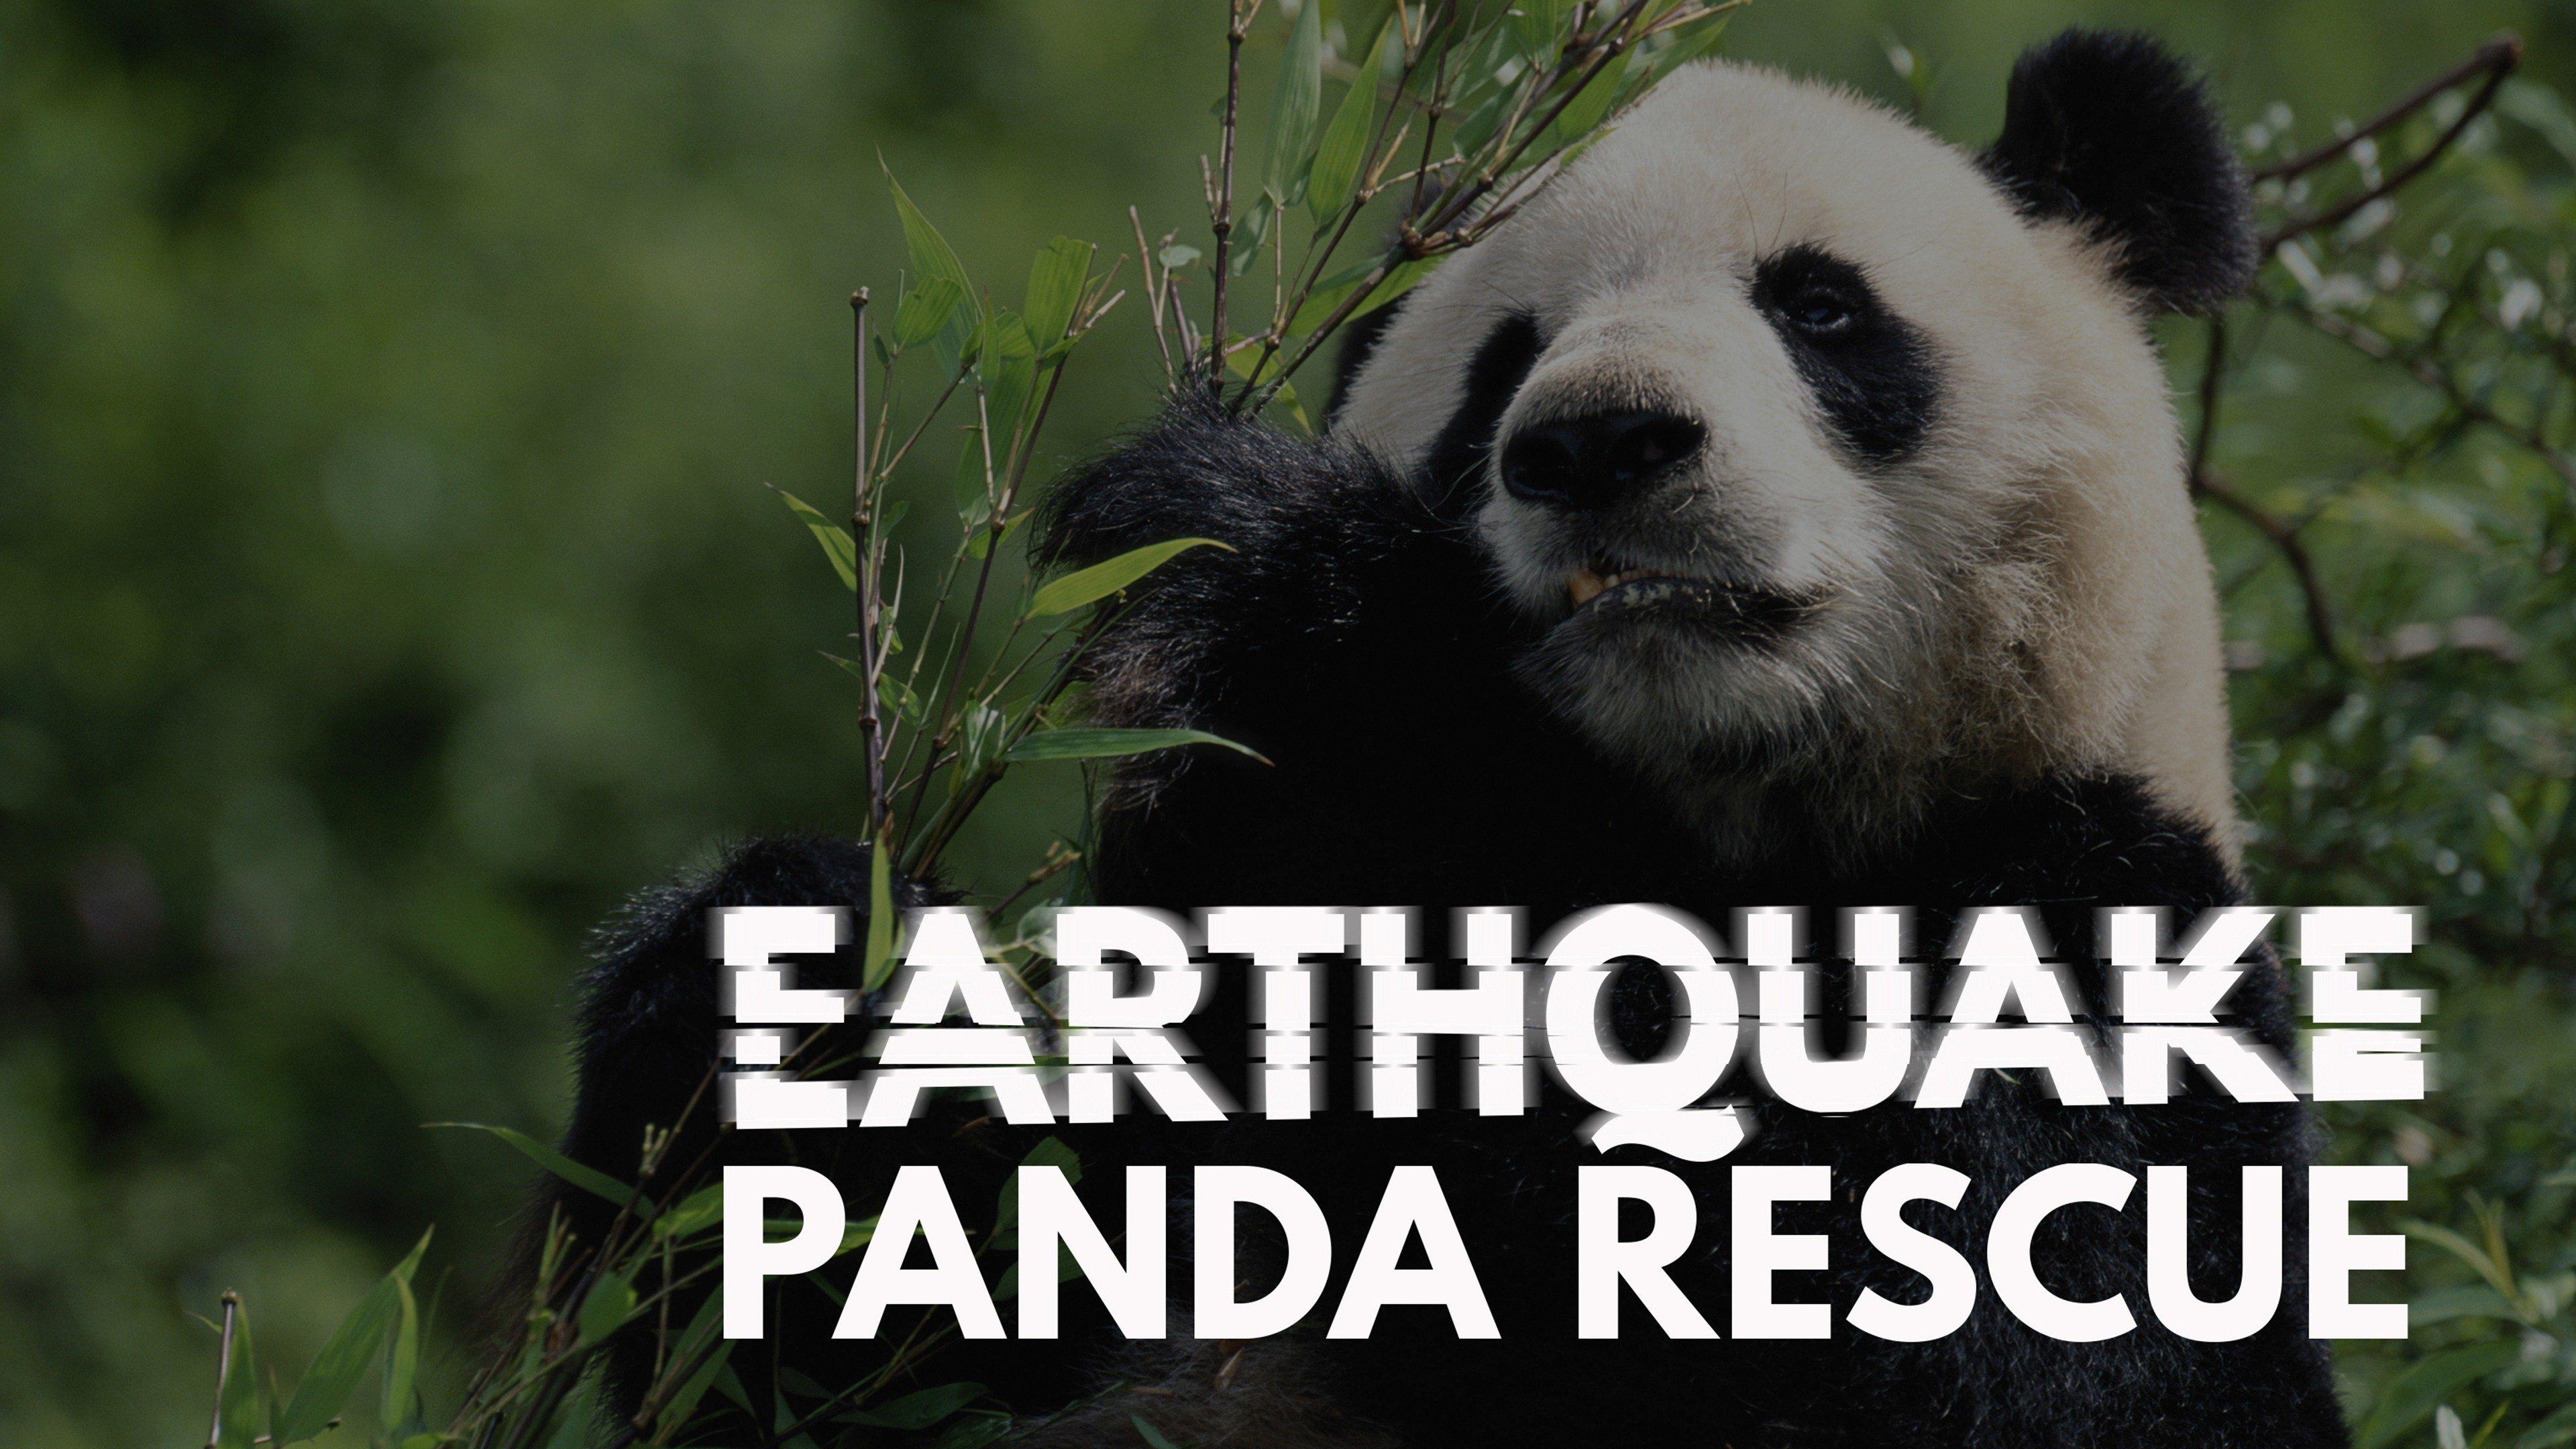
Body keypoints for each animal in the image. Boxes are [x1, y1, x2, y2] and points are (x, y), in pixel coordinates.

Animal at [547, 31, 2346, 1449]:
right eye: (1500, 368)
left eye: (1823, 309)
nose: (1601, 442)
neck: (1723, 830)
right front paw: (777, 996)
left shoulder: (2097, 918)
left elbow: (1953, 1310)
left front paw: (1285, 581)